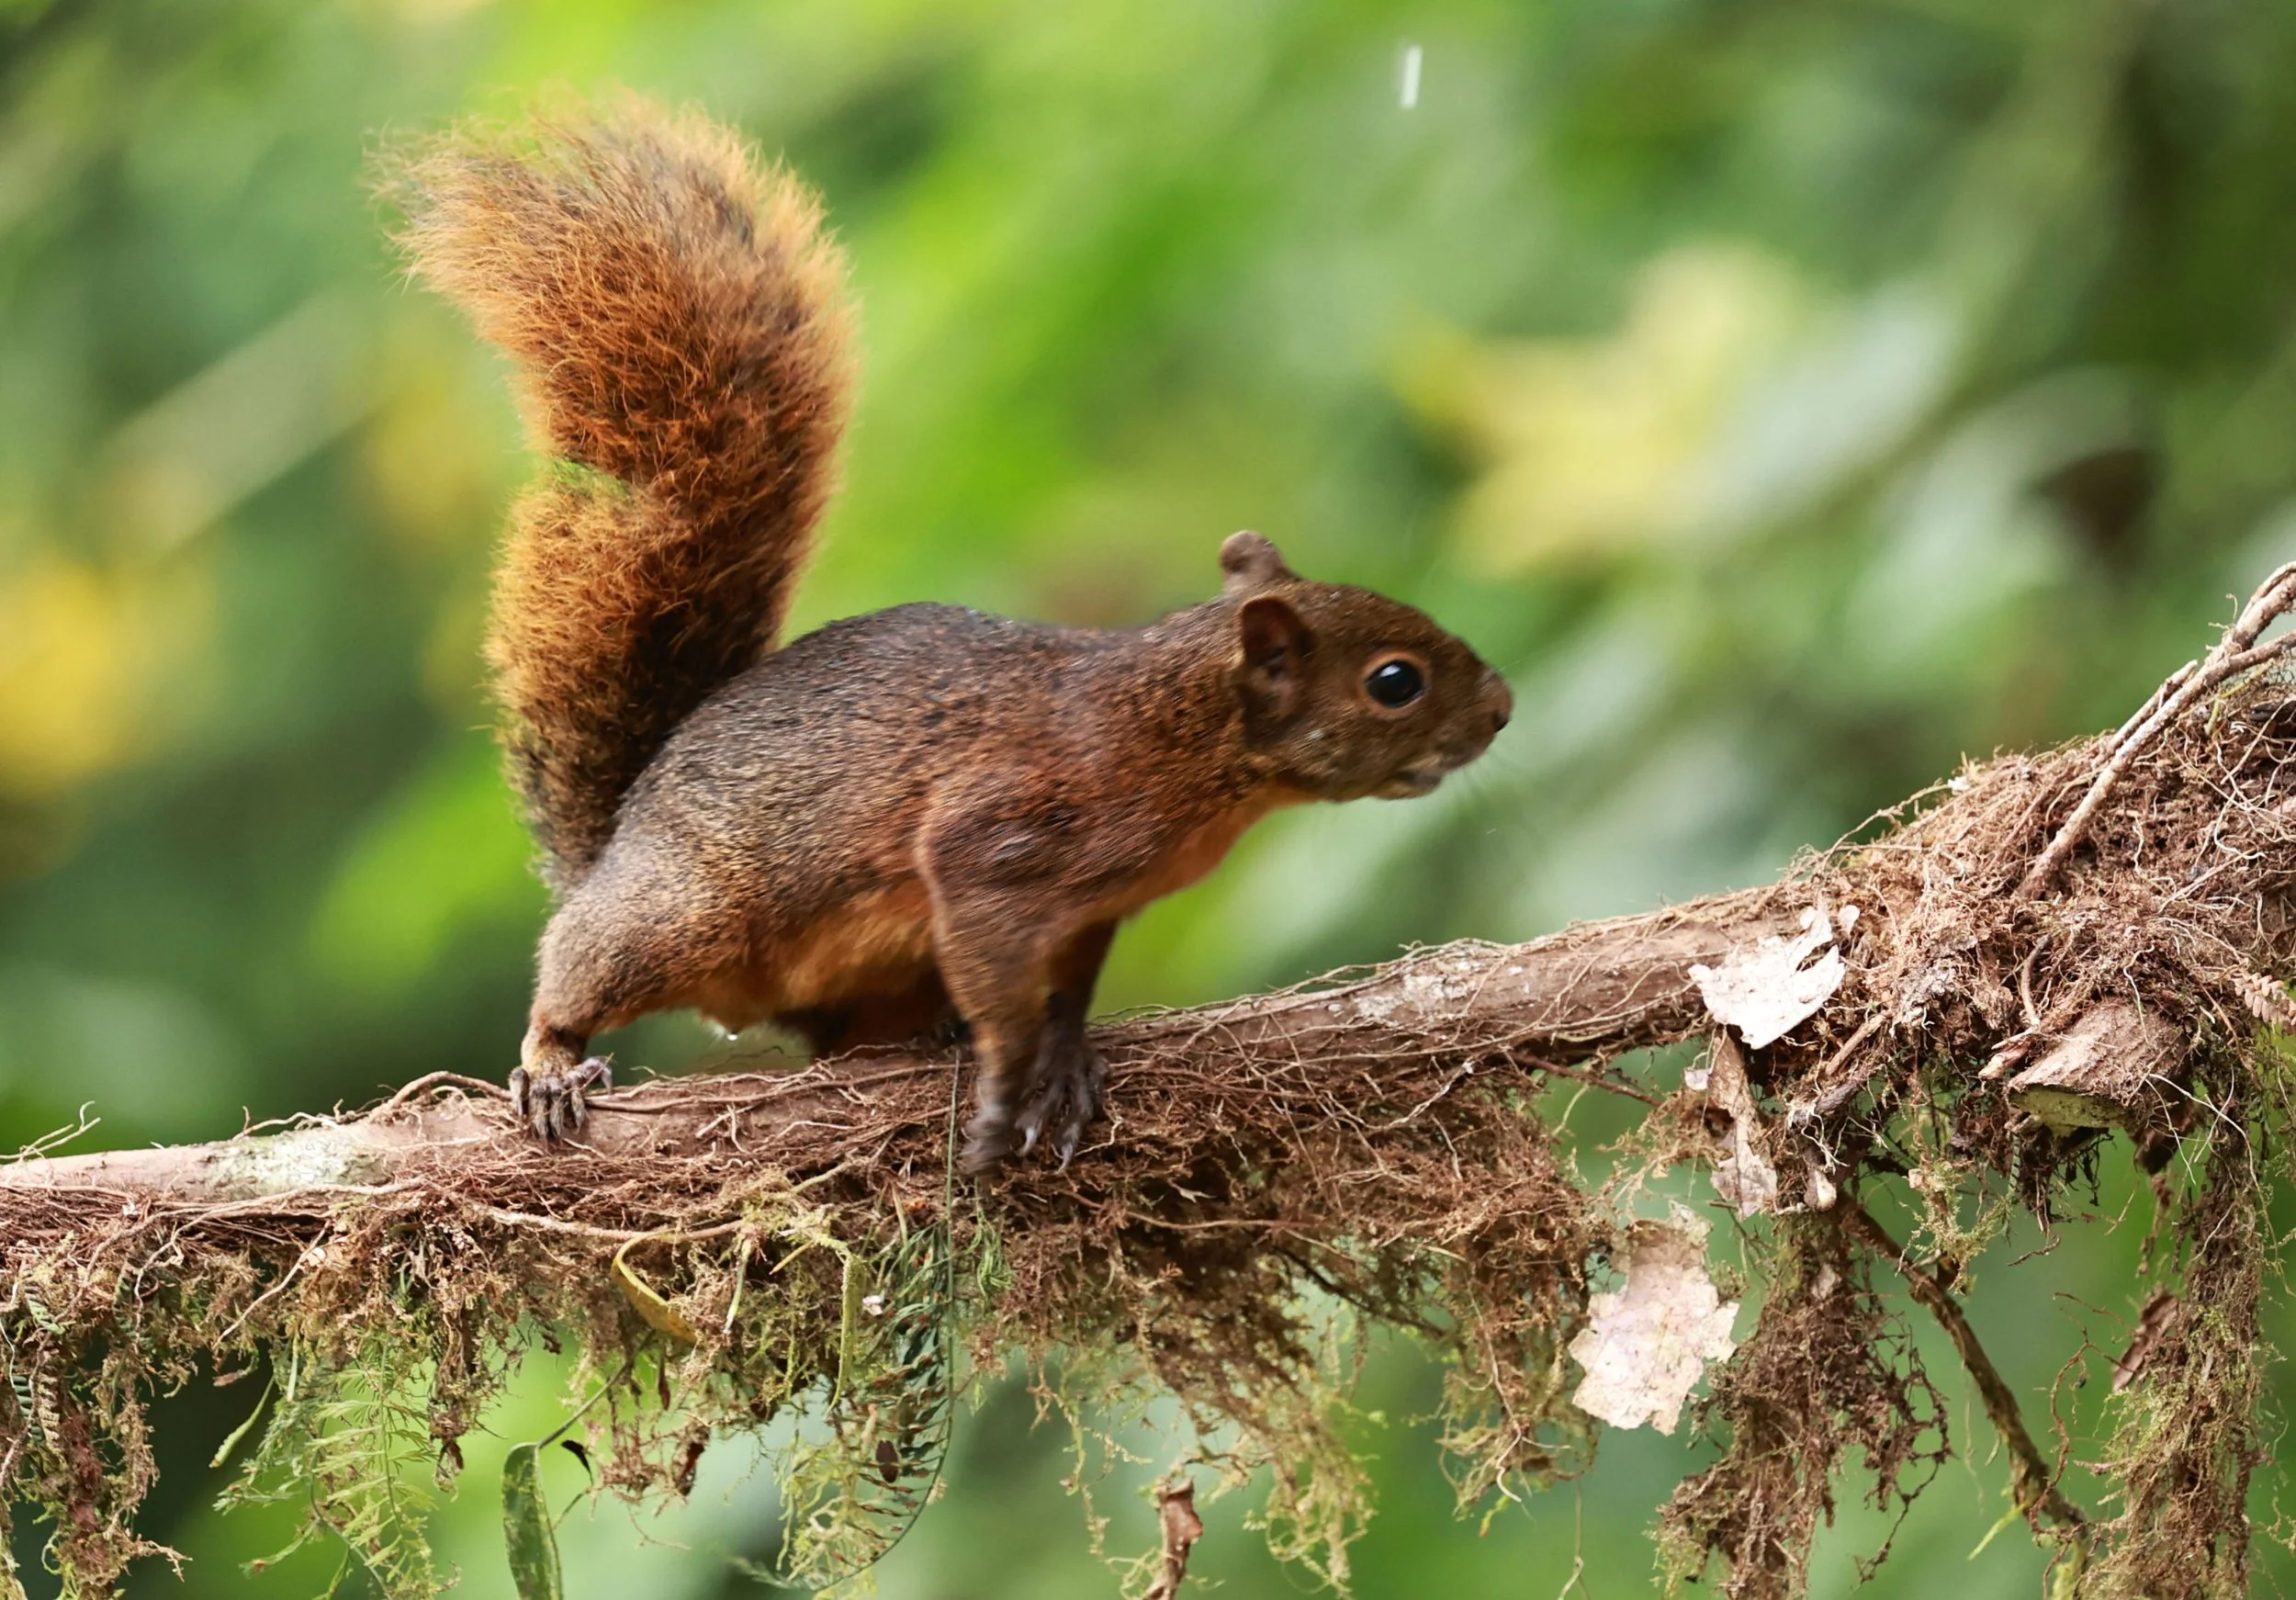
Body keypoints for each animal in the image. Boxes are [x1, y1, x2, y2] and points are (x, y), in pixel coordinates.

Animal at [396, 98, 1514, 1172]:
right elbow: (995, 957)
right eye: (1396, 681)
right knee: (579, 962)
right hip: (679, 914)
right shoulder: (996, 841)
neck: (1175, 731)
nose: (1503, 709)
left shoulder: (1086, 913)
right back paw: (553, 1062)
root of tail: (619, 830)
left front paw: (1061, 1057)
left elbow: (1062, 993)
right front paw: (1013, 1077)